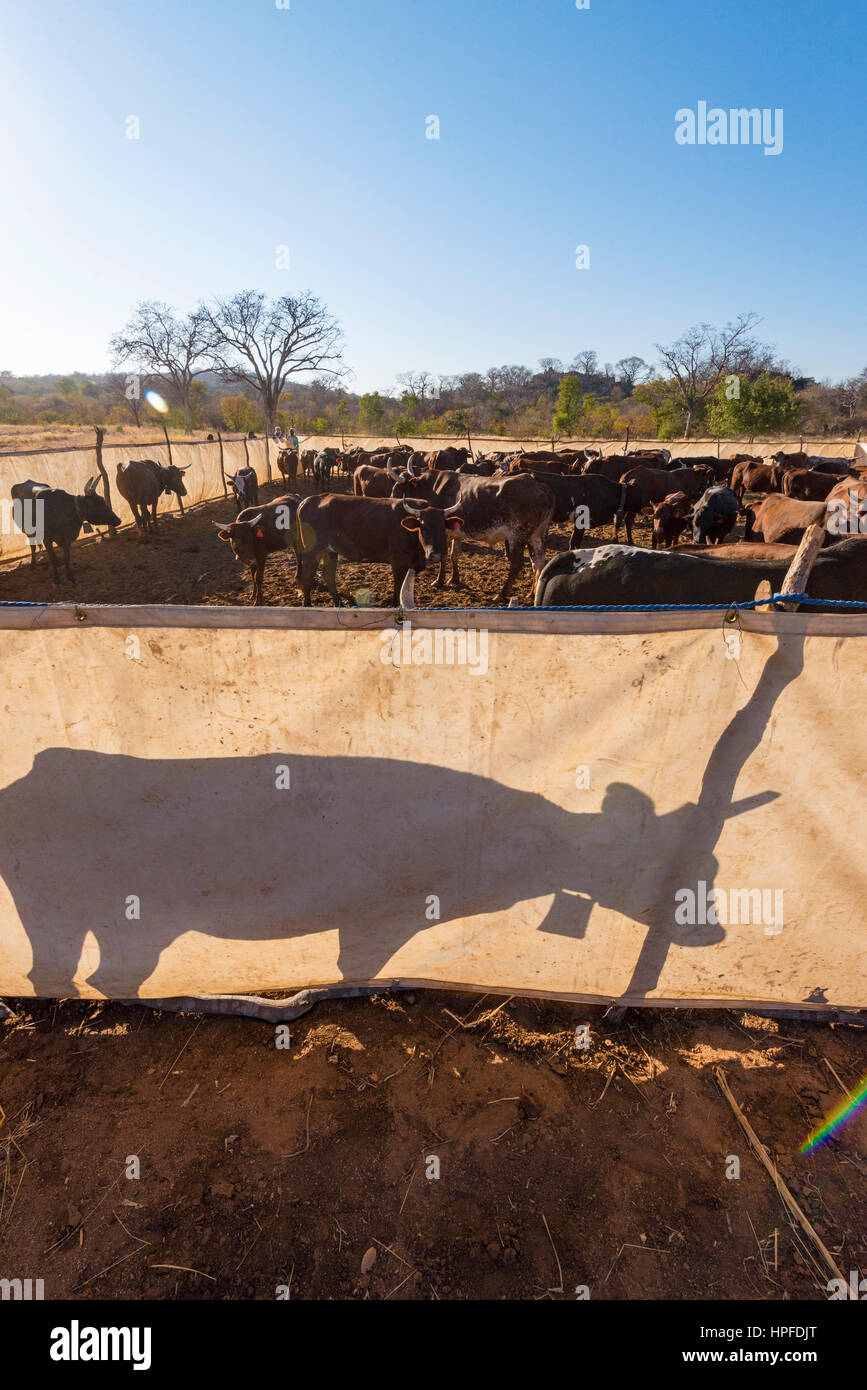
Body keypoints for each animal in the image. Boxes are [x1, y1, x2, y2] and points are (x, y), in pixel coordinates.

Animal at [295, 494, 462, 606]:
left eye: (443, 529)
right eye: (423, 528)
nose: (436, 555)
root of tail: (309, 500)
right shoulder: (398, 563)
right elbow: (398, 588)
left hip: (330, 551)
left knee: (328, 576)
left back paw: (338, 603)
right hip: (312, 552)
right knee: (308, 577)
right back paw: (308, 605)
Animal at [388, 468, 555, 601]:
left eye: (397, 489)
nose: (391, 501)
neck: (434, 488)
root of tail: (541, 487)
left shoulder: (444, 534)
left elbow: (443, 556)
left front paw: (439, 580)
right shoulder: (456, 533)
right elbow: (454, 555)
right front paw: (454, 579)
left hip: (517, 536)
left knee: (517, 565)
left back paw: (501, 594)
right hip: (537, 536)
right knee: (538, 562)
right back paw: (532, 592)